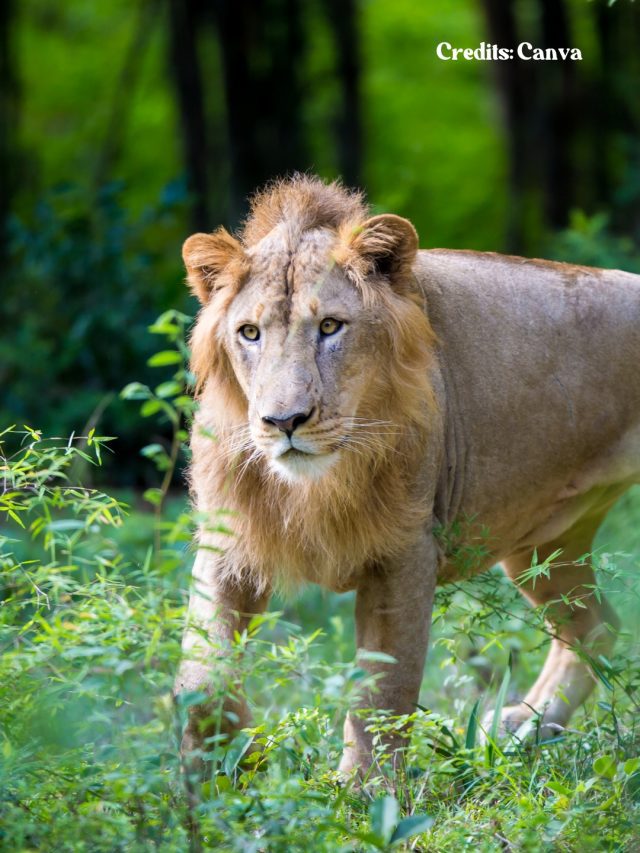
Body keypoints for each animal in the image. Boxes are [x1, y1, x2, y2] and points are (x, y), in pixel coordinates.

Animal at [175, 174, 640, 775]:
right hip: (544, 544)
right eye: (249, 333)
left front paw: (364, 791)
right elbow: (201, 678)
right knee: (596, 627)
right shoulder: (228, 543)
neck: (318, 482)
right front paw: (221, 770)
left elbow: (383, 690)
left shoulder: (403, 552)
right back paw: (522, 730)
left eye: (330, 326)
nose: (284, 421)